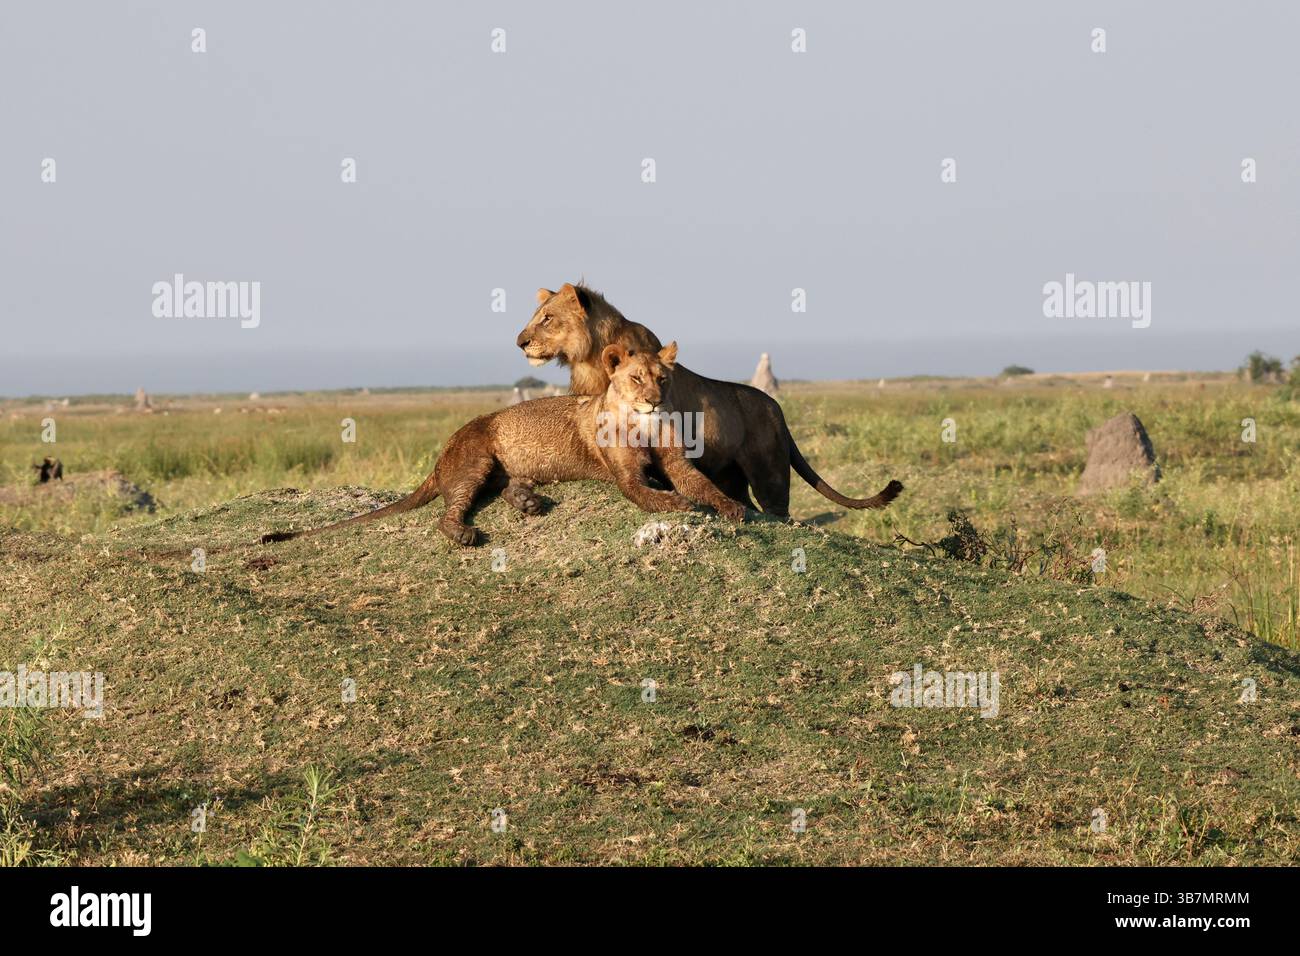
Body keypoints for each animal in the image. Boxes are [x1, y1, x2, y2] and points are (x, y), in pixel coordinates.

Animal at [260, 341, 743, 547]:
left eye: (662, 378)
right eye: (636, 378)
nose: (654, 399)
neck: (642, 421)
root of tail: (441, 453)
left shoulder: (677, 463)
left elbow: (703, 485)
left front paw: (732, 506)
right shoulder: (625, 477)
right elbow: (649, 494)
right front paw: (680, 504)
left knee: (504, 488)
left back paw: (527, 500)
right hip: (474, 459)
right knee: (448, 512)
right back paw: (464, 532)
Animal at [516, 283, 903, 516]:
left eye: (547, 318)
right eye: (536, 317)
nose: (520, 342)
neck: (589, 357)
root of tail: (777, 408)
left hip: (770, 476)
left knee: (778, 510)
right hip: (731, 476)